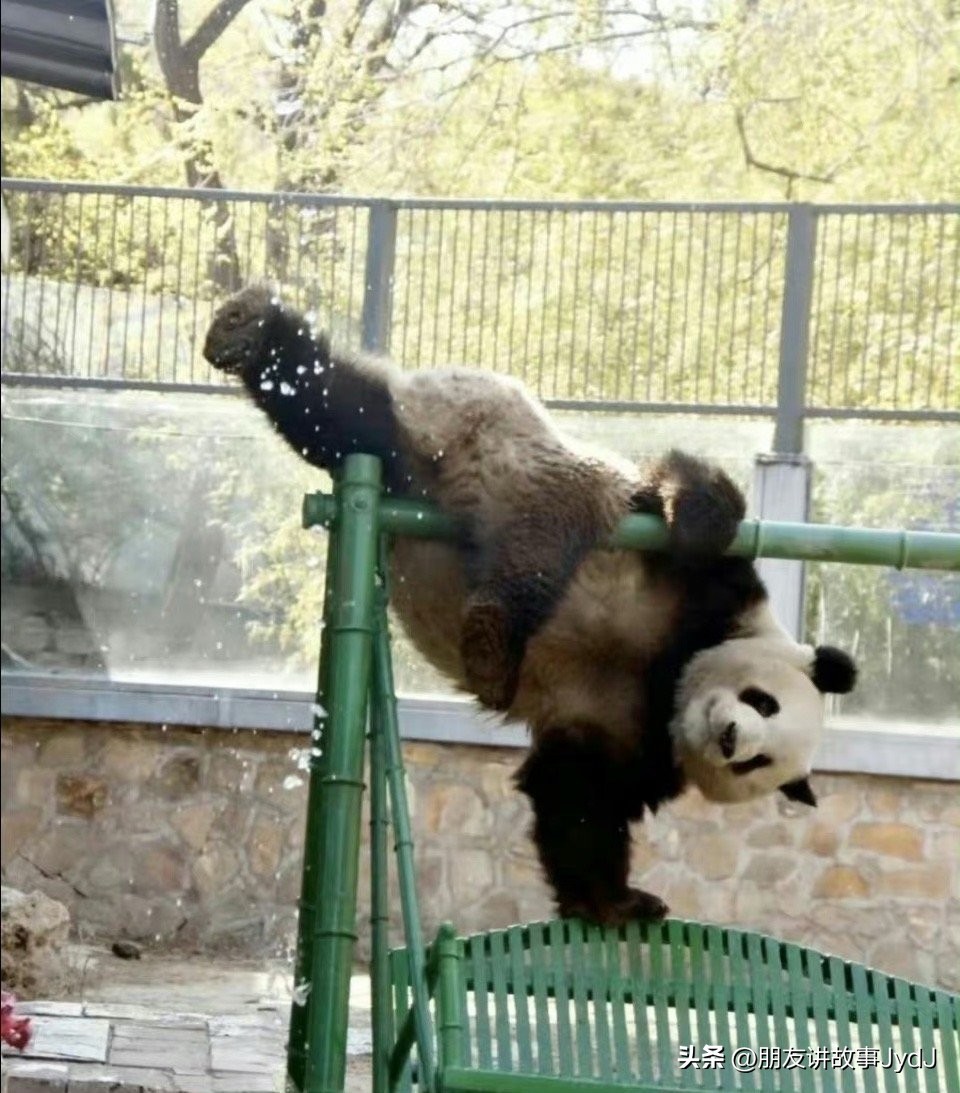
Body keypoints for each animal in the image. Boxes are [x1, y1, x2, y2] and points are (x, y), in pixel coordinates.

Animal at [203, 285, 858, 926]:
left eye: (756, 761)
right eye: (764, 701)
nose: (729, 737)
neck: (673, 674)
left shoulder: (636, 737)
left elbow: (575, 793)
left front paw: (614, 903)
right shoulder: (704, 588)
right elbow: (688, 492)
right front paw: (698, 520)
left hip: (429, 466)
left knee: (340, 420)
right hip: (528, 458)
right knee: (517, 532)